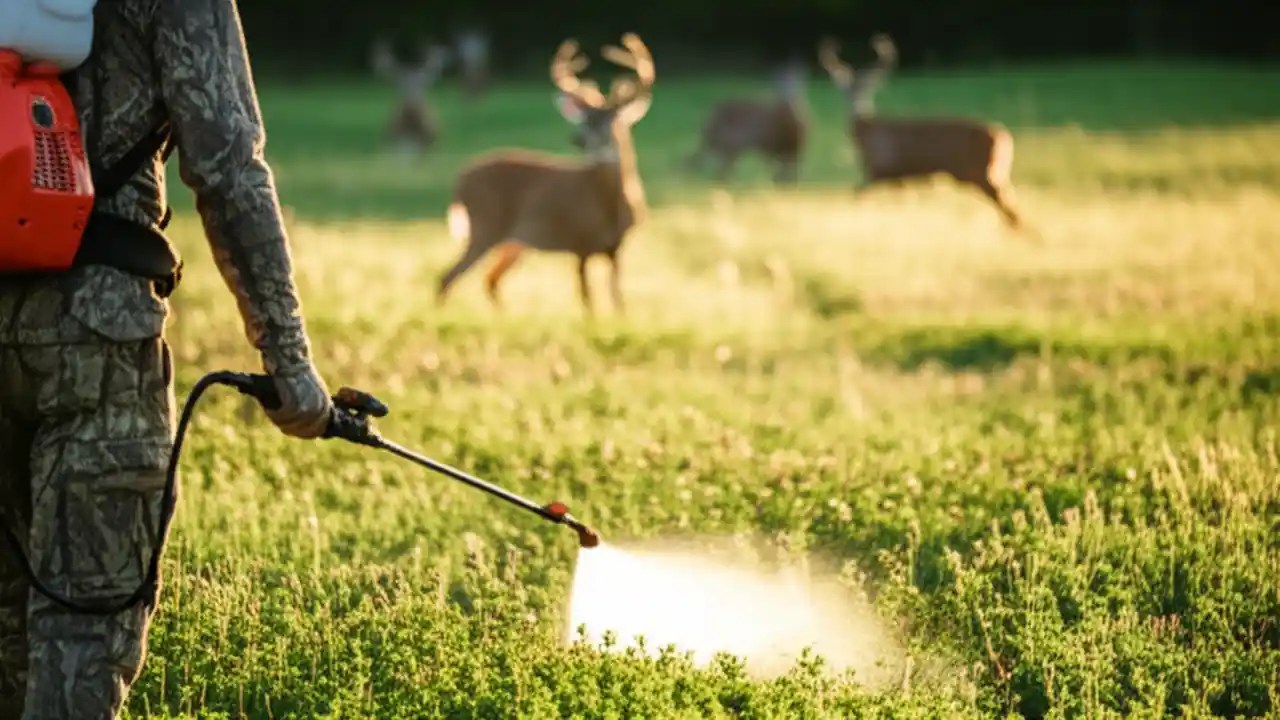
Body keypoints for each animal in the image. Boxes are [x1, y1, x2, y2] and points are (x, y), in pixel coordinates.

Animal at [435, 33, 655, 316]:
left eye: (611, 120)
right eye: (584, 119)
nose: (577, 139)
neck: (607, 206)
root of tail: (460, 179)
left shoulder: (615, 246)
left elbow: (618, 299)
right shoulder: (580, 242)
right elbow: (587, 299)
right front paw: (592, 322)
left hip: (513, 241)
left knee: (490, 279)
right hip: (485, 225)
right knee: (447, 277)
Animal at [818, 34, 1026, 231]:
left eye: (867, 88)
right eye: (845, 90)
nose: (855, 103)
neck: (865, 132)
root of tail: (1002, 135)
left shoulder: (883, 169)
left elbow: (858, 193)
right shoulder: (896, 177)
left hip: (980, 172)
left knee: (1009, 206)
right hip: (996, 172)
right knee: (1010, 200)